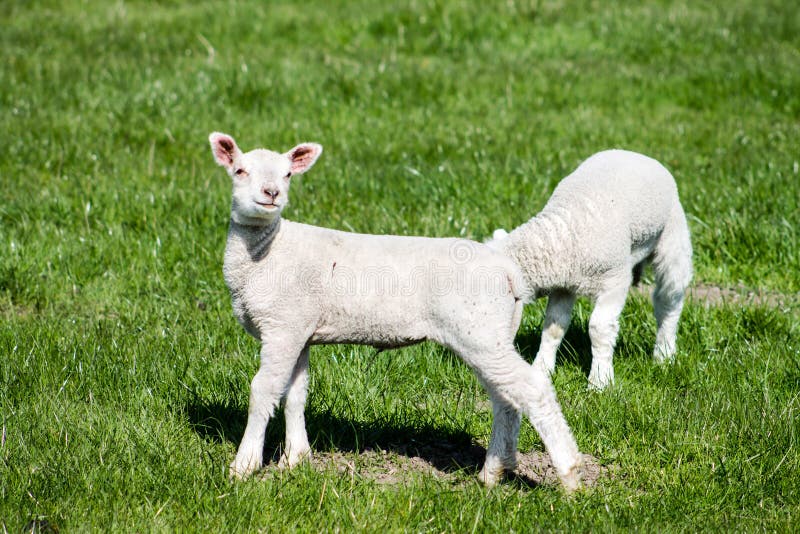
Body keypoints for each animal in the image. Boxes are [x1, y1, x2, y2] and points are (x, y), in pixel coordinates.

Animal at [208, 132, 585, 490]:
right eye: (240, 171)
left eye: (288, 174)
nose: (271, 193)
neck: (266, 251)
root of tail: (507, 269)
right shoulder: (299, 329)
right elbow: (295, 395)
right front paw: (296, 460)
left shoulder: (281, 328)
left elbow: (263, 391)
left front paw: (243, 466)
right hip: (491, 332)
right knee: (505, 397)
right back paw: (493, 473)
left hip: (479, 331)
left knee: (533, 388)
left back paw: (570, 477)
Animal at [488, 150, 693, 390]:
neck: (565, 232)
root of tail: (637, 154)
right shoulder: (563, 286)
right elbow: (553, 326)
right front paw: (542, 369)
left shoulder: (615, 279)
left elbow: (599, 328)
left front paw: (600, 381)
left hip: (673, 237)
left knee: (668, 299)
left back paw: (664, 354)